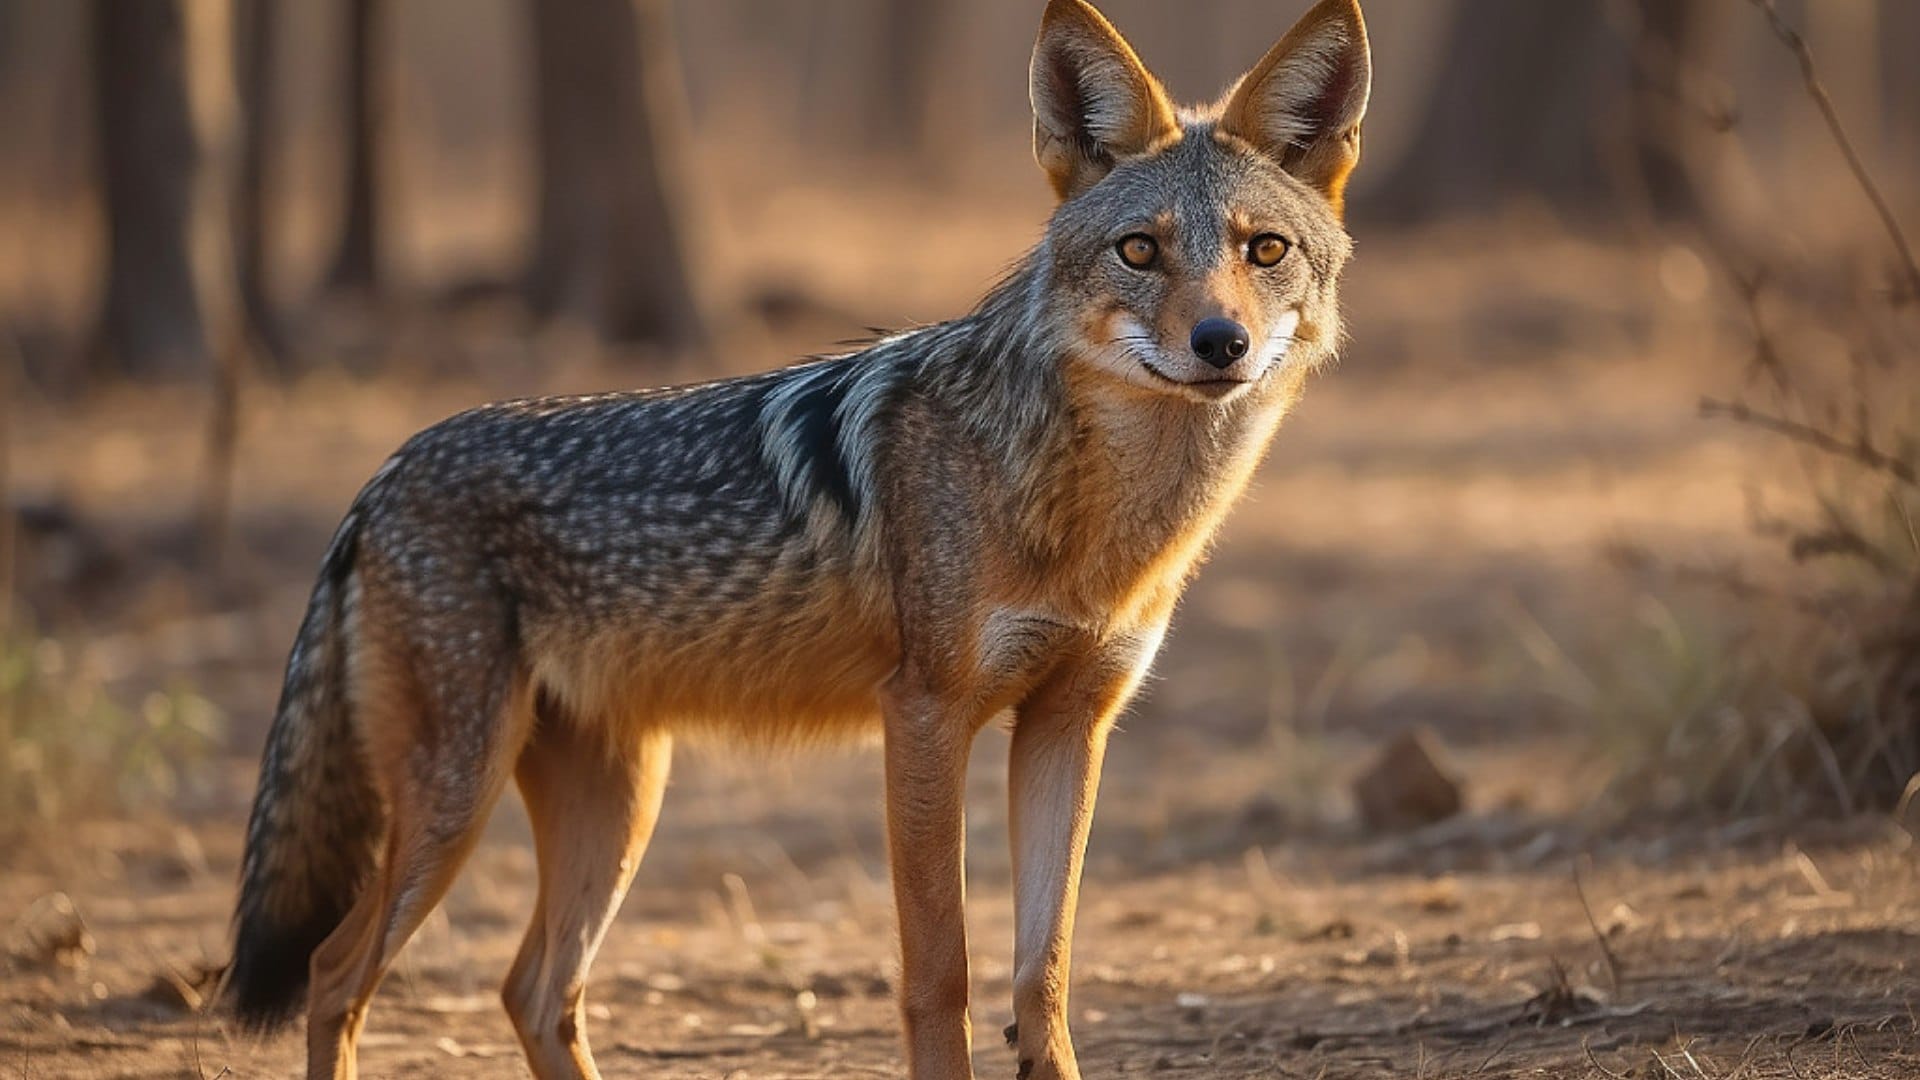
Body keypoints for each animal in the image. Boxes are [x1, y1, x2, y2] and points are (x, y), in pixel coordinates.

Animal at [221, 1, 1371, 1076]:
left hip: (619, 805)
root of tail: (382, 476)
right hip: (458, 802)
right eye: (1141, 250)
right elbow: (943, 974)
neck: (1094, 521)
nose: (1219, 343)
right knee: (336, 973)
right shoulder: (924, 717)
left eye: (1263, 251)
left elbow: (1042, 977)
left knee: (532, 988)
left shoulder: (1069, 725)